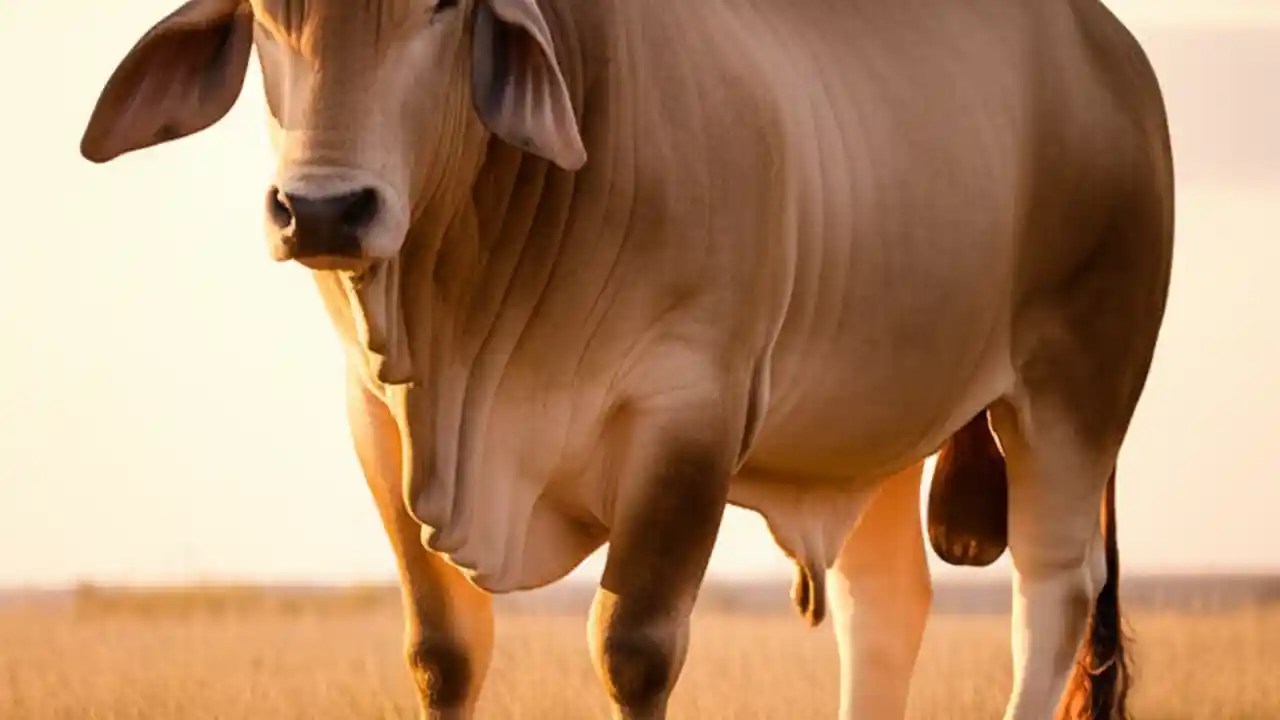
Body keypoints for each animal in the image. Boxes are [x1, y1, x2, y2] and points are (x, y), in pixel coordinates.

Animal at [80, 0, 1174, 718]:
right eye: (268, 8)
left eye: (443, 4)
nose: (323, 211)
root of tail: (1114, 49)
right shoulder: (378, 423)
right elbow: (444, 652)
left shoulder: (684, 420)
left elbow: (632, 650)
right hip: (875, 425)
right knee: (886, 610)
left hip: (1077, 386)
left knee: (1051, 595)